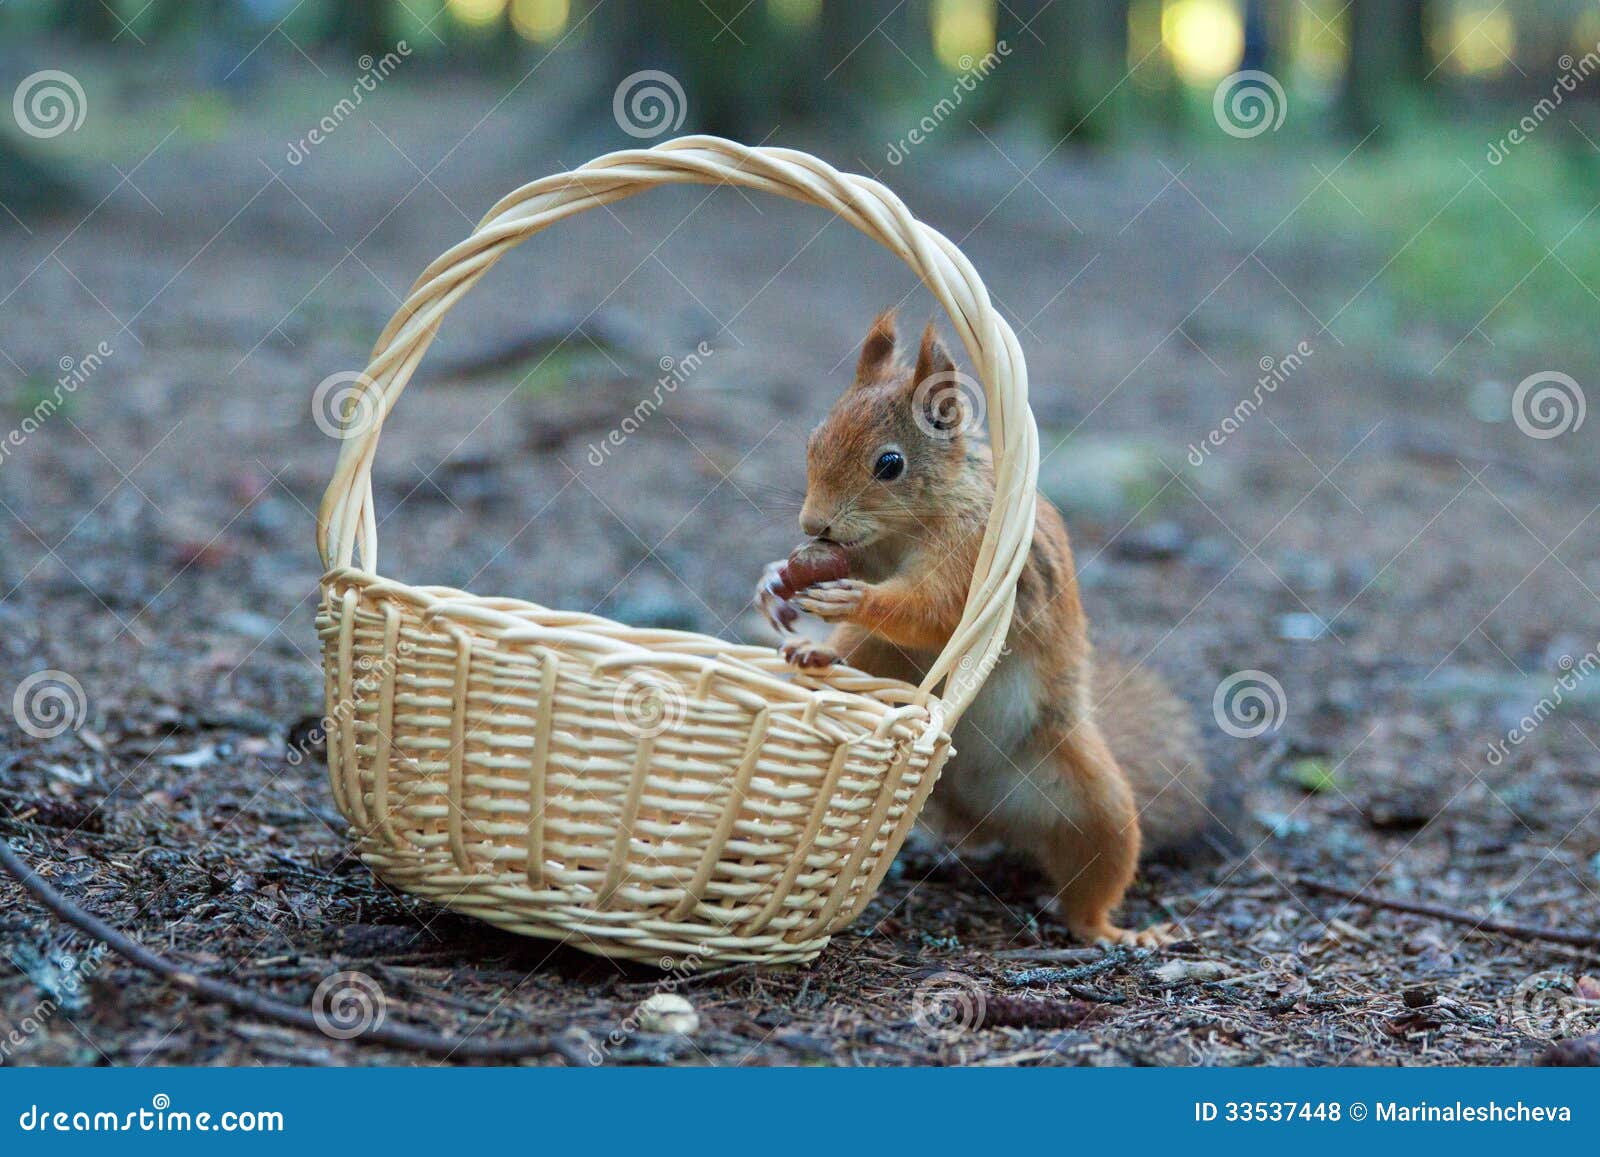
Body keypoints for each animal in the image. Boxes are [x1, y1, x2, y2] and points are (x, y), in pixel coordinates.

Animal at [760, 310, 1214, 946]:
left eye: (889, 464)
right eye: (813, 439)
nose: (813, 524)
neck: (905, 530)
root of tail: (998, 814)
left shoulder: (973, 550)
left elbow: (933, 610)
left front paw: (853, 597)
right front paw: (778, 580)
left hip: (1097, 800)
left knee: (1095, 880)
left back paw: (1114, 932)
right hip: (904, 697)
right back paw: (815, 654)